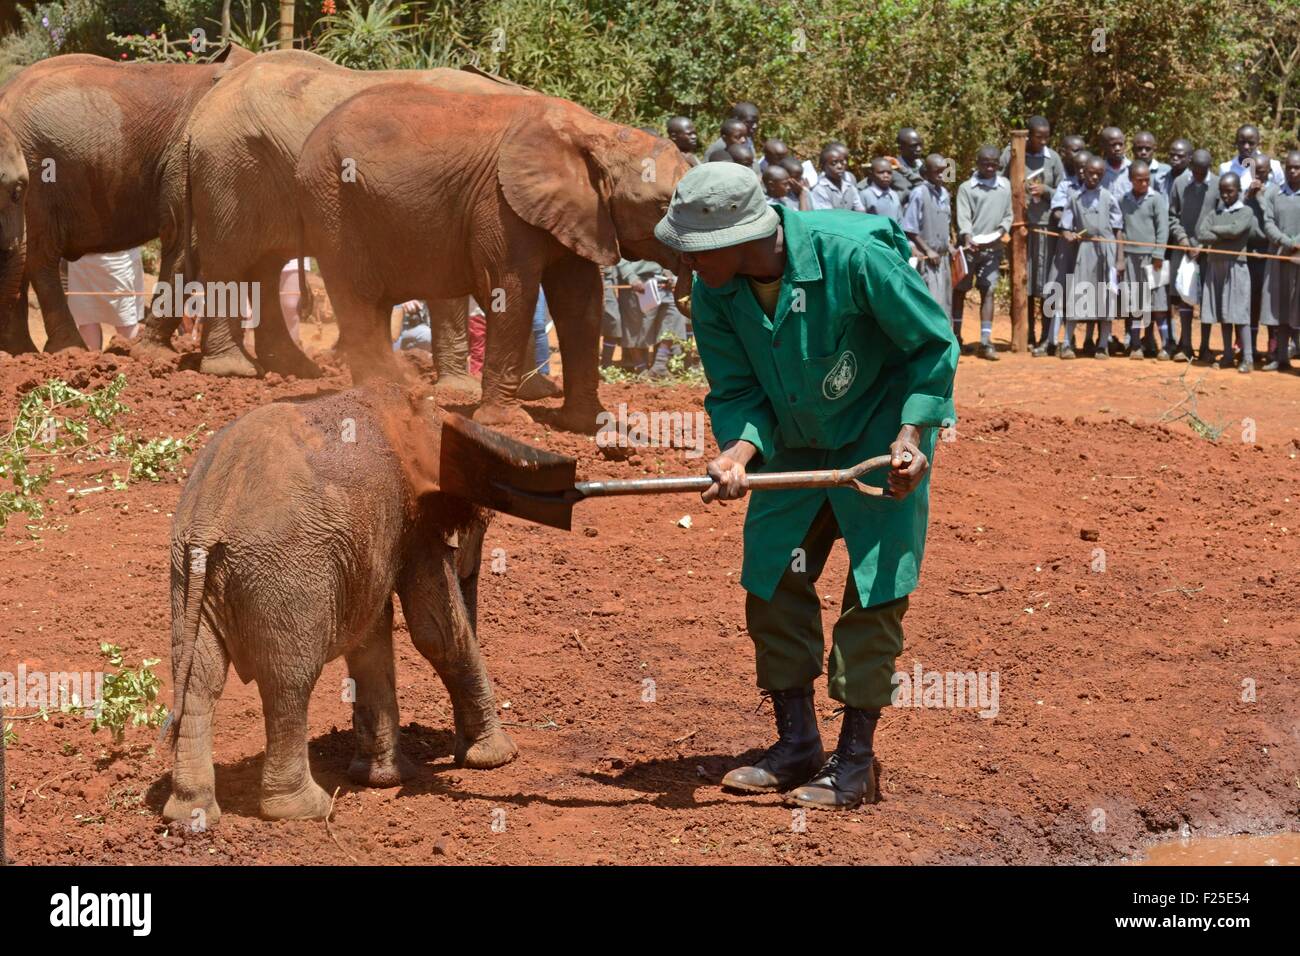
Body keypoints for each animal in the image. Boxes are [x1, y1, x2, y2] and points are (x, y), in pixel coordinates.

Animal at [0, 45, 254, 356]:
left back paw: (22, 352)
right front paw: (153, 355)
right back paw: (69, 350)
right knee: (40, 255)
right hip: (37, 171)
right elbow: (187, 237)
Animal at [132, 49, 534, 382]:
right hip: (228, 168)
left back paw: (297, 370)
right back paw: (235, 370)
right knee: (230, 260)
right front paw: (460, 390)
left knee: (264, 267)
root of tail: (200, 114)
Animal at [165, 383, 516, 824]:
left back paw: (190, 813)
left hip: (188, 571)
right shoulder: (414, 520)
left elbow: (372, 635)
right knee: (288, 681)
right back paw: (305, 810)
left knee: (199, 679)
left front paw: (382, 779)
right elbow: (435, 630)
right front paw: (495, 759)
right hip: (285, 572)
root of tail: (210, 516)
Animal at [294, 82, 688, 431]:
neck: (598, 131)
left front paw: (587, 424)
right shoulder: (500, 205)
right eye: (663, 207)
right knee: (358, 295)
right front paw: (507, 423)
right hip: (330, 199)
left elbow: (581, 301)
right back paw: (385, 394)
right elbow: (509, 292)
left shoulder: (582, 213)